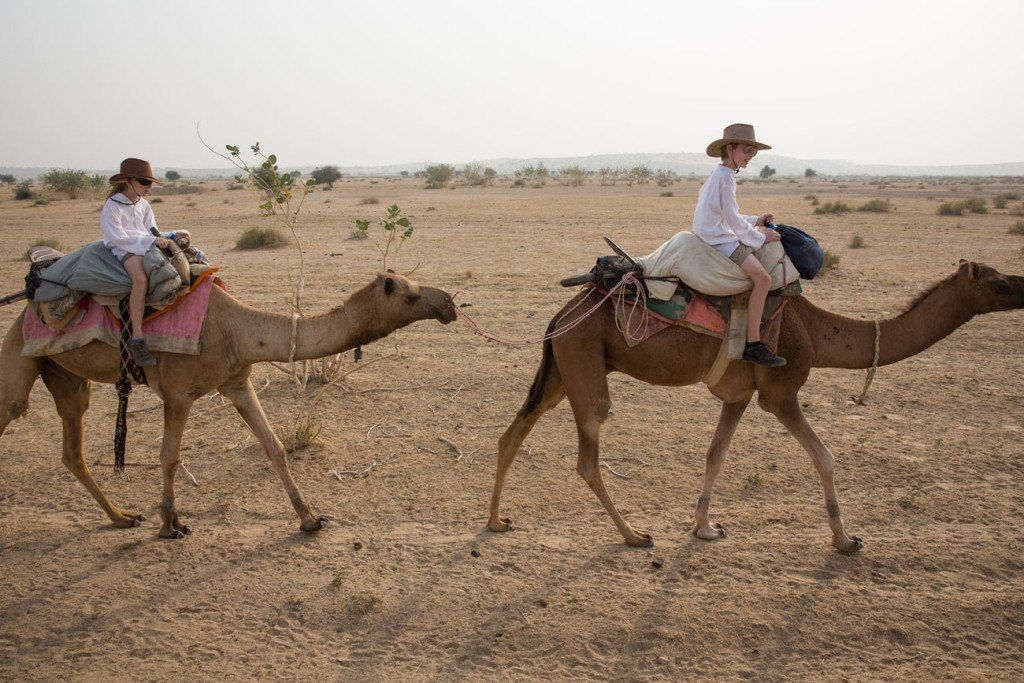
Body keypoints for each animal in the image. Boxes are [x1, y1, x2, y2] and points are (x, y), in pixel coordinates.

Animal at [0, 272, 456, 538]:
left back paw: (122, 517)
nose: (450, 303)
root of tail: (25, 307)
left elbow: (274, 445)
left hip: (65, 374)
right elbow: (169, 457)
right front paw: (170, 524)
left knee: (72, 448)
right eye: (412, 295)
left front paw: (310, 519)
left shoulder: (237, 383)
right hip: (19, 356)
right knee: (13, 407)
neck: (237, 328)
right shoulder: (179, 393)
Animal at [487, 260, 1024, 553]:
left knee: (514, 430)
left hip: (562, 368)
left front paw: (705, 528)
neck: (818, 331)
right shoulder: (779, 393)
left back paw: (496, 520)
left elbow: (716, 455)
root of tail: (562, 312)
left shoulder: (740, 395)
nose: (1023, 287)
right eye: (998, 284)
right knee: (587, 457)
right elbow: (825, 458)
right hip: (583, 366)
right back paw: (635, 535)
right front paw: (845, 540)